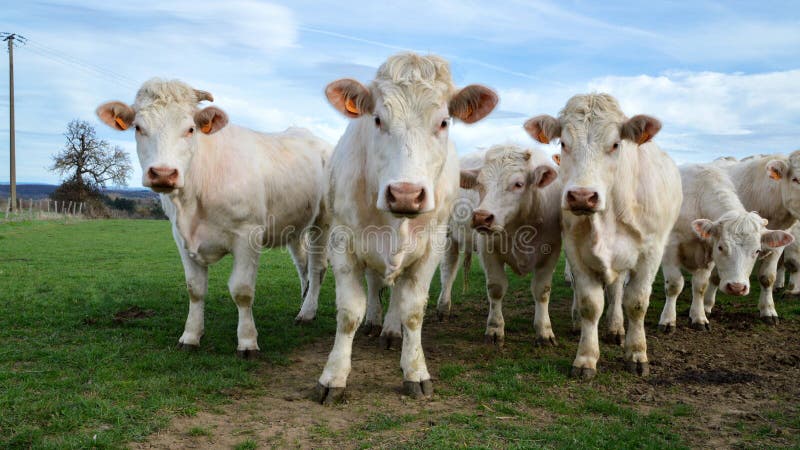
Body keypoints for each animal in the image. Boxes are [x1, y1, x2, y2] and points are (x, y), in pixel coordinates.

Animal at [96, 79, 331, 357]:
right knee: (303, 265)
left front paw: (247, 341)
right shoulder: (180, 236)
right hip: (295, 224)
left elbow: (242, 291)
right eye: (138, 127)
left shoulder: (247, 234)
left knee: (317, 267)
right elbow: (195, 289)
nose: (163, 173)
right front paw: (190, 336)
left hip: (322, 221)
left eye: (190, 129)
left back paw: (308, 312)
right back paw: (303, 301)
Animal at [312, 53, 498, 404]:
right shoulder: (342, 240)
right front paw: (333, 377)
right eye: (377, 120)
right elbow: (350, 312)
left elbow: (412, 310)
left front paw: (415, 371)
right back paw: (376, 322)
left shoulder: (431, 246)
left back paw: (390, 330)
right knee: (374, 285)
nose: (405, 194)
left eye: (443, 122)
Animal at [458, 145, 562, 346]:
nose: (481, 217)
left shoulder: (552, 251)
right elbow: (496, 288)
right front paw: (494, 329)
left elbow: (542, 290)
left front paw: (544, 331)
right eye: (479, 183)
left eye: (518, 184)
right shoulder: (488, 249)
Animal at [525, 93, 682, 379]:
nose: (582, 196)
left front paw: (636, 353)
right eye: (564, 143)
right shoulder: (575, 250)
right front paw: (586, 358)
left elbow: (636, 303)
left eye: (616, 144)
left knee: (619, 292)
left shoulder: (651, 252)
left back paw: (616, 327)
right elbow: (590, 304)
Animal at [658, 163, 793, 332]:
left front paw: (699, 317)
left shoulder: (707, 256)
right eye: (721, 247)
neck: (697, 200)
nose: (737, 287)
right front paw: (668, 320)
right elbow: (674, 285)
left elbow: (700, 286)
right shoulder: (670, 249)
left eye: (757, 251)